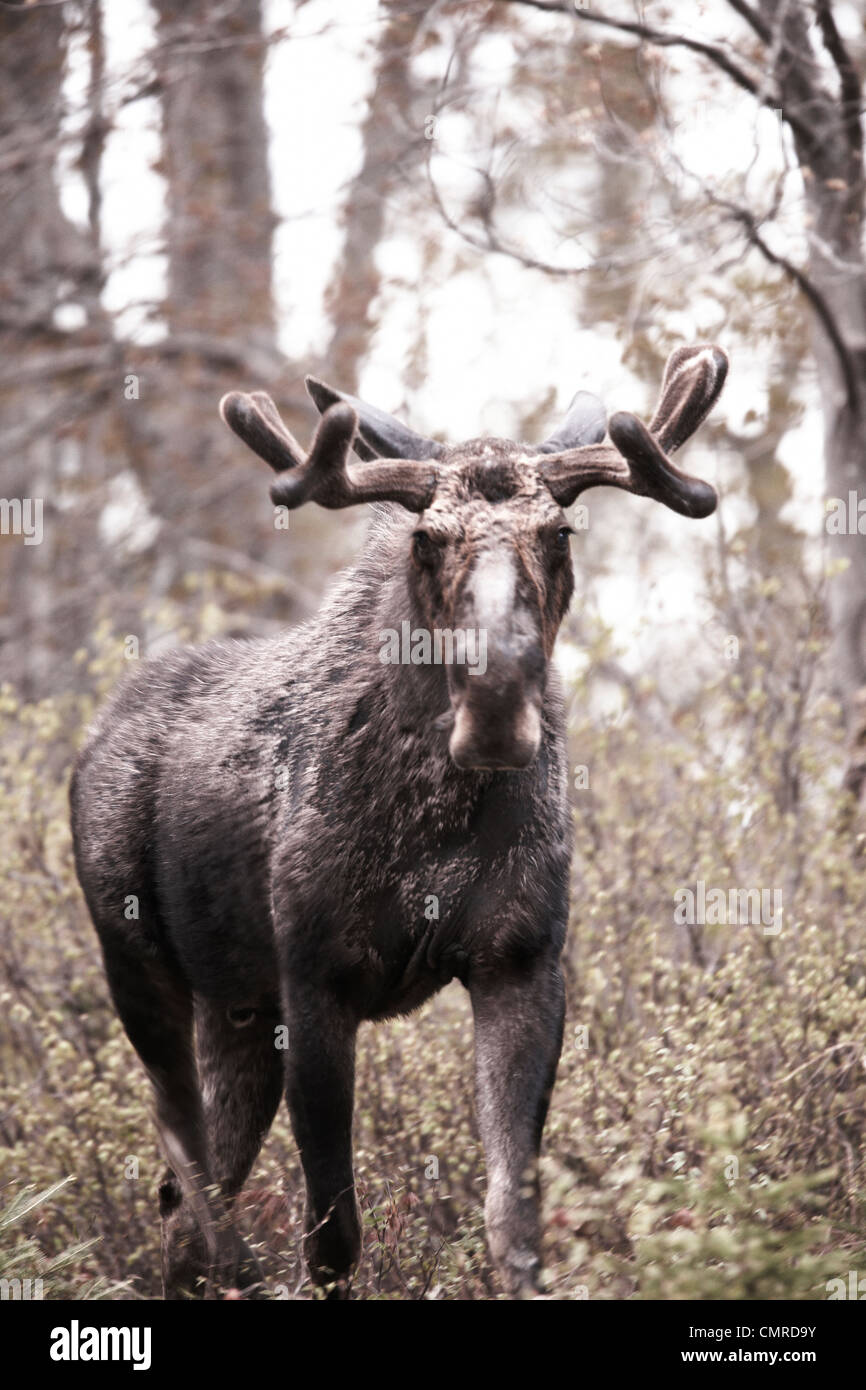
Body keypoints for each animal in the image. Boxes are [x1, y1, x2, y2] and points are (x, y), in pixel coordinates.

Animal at [69, 342, 728, 1300]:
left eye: (559, 533)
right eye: (427, 537)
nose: (496, 710)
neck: (434, 826)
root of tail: (94, 736)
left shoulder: (521, 961)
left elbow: (514, 1220)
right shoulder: (315, 977)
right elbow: (333, 1235)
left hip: (235, 1006)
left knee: (189, 1196)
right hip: (138, 966)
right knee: (184, 1163)